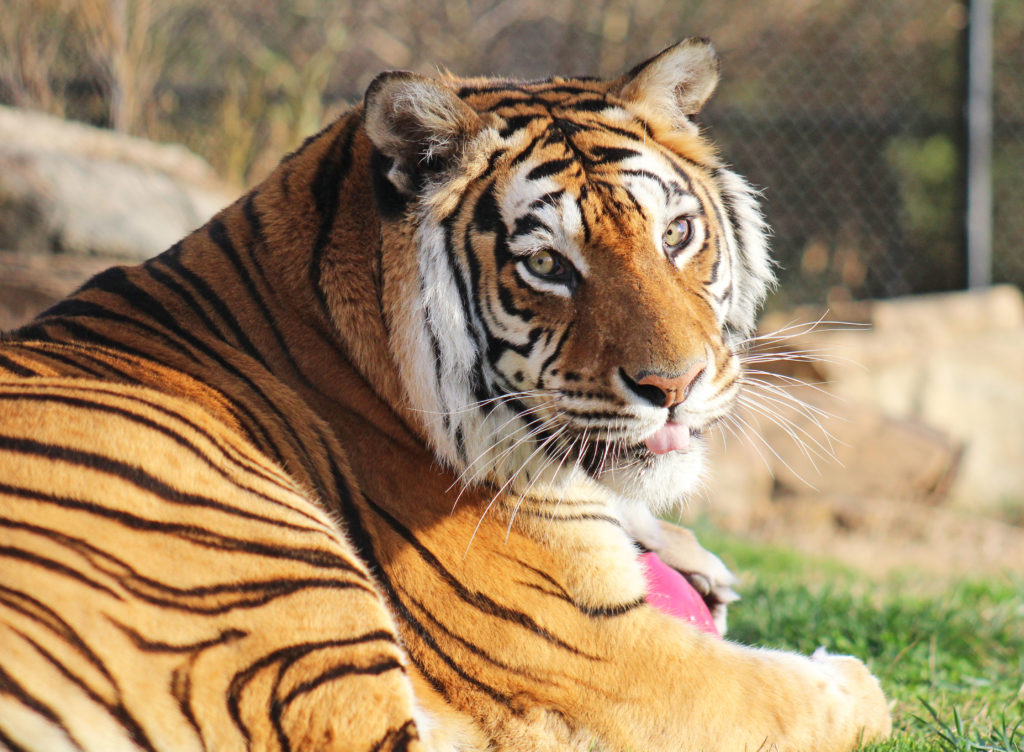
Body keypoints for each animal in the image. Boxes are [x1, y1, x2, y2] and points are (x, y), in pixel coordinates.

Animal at [0, 39, 891, 751]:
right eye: (547, 265)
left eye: (675, 235)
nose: (674, 386)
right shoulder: (595, 650)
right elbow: (815, 695)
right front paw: (842, 674)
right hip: (281, 568)